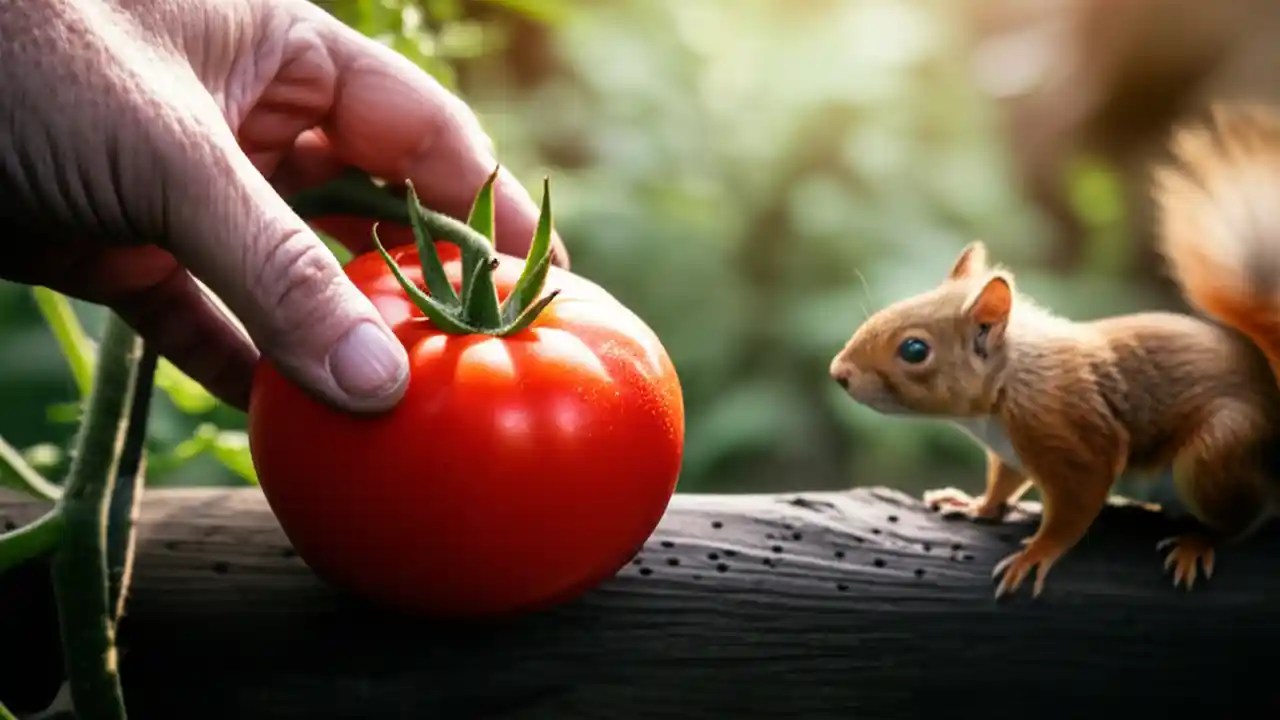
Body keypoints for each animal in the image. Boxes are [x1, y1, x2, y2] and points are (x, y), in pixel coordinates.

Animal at [828, 104, 1280, 599]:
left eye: (913, 349)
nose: (839, 372)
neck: (1002, 395)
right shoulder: (1011, 451)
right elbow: (1003, 485)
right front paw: (974, 505)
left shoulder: (1068, 430)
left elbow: (1074, 508)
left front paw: (1035, 554)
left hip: (1217, 453)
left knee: (1242, 519)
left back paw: (1198, 541)